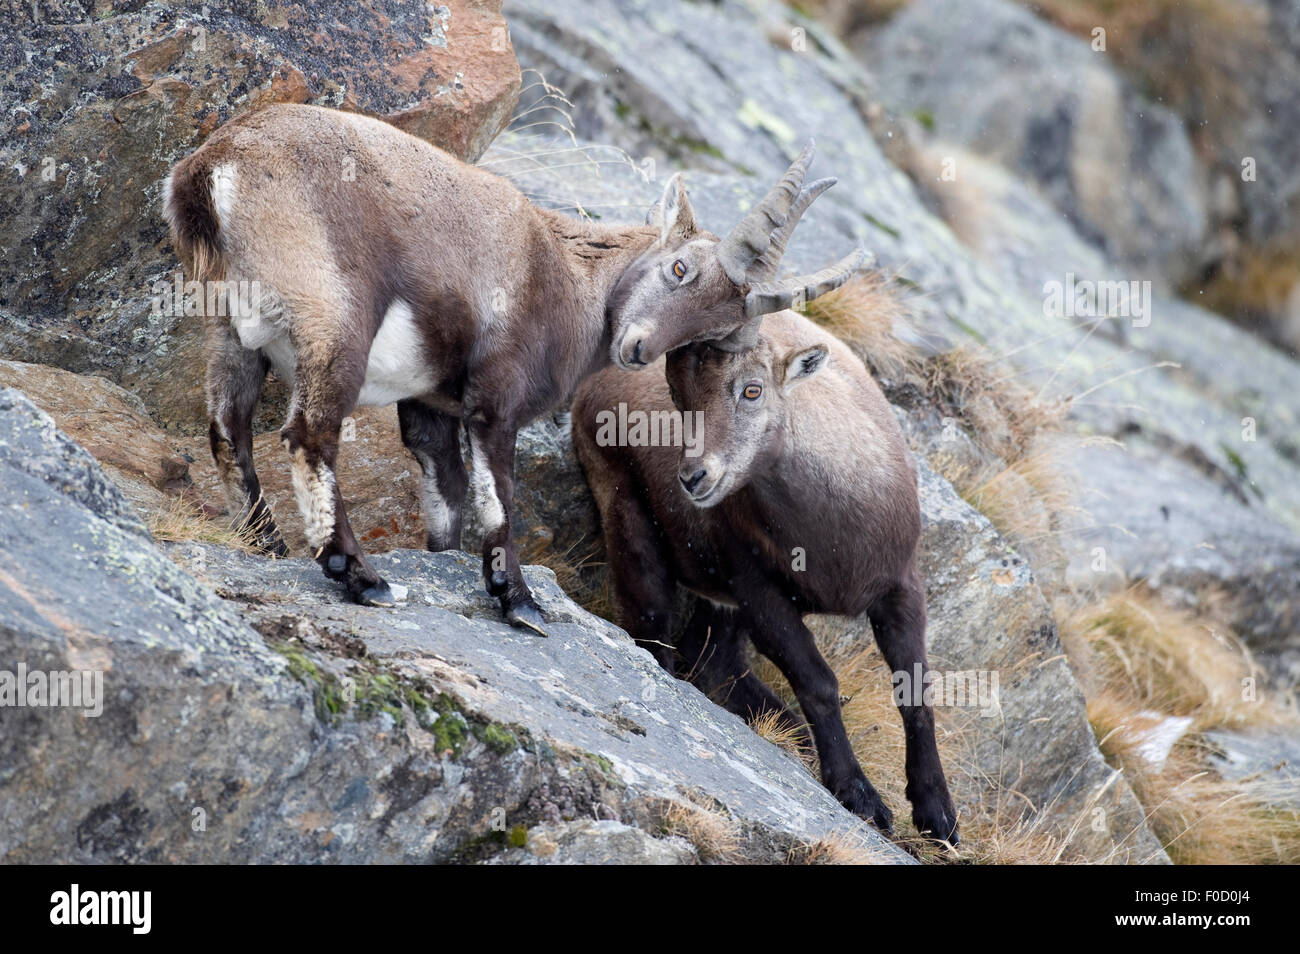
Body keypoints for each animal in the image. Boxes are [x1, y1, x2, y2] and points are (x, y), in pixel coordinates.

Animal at [163, 104, 862, 633]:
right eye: (679, 267)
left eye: (716, 327)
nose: (637, 349)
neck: (569, 273)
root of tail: (215, 168)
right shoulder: (494, 402)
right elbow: (498, 497)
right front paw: (518, 601)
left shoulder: (432, 406)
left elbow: (446, 498)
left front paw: (448, 563)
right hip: (334, 326)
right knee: (307, 436)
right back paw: (358, 576)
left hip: (230, 331)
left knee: (227, 430)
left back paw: (266, 544)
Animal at [572, 196, 957, 839]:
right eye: (679, 394)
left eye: (751, 390)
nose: (695, 478)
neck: (829, 532)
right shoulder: (756, 587)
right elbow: (818, 682)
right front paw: (858, 793)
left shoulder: (902, 585)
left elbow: (915, 690)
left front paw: (937, 813)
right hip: (627, 513)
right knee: (659, 634)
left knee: (717, 661)